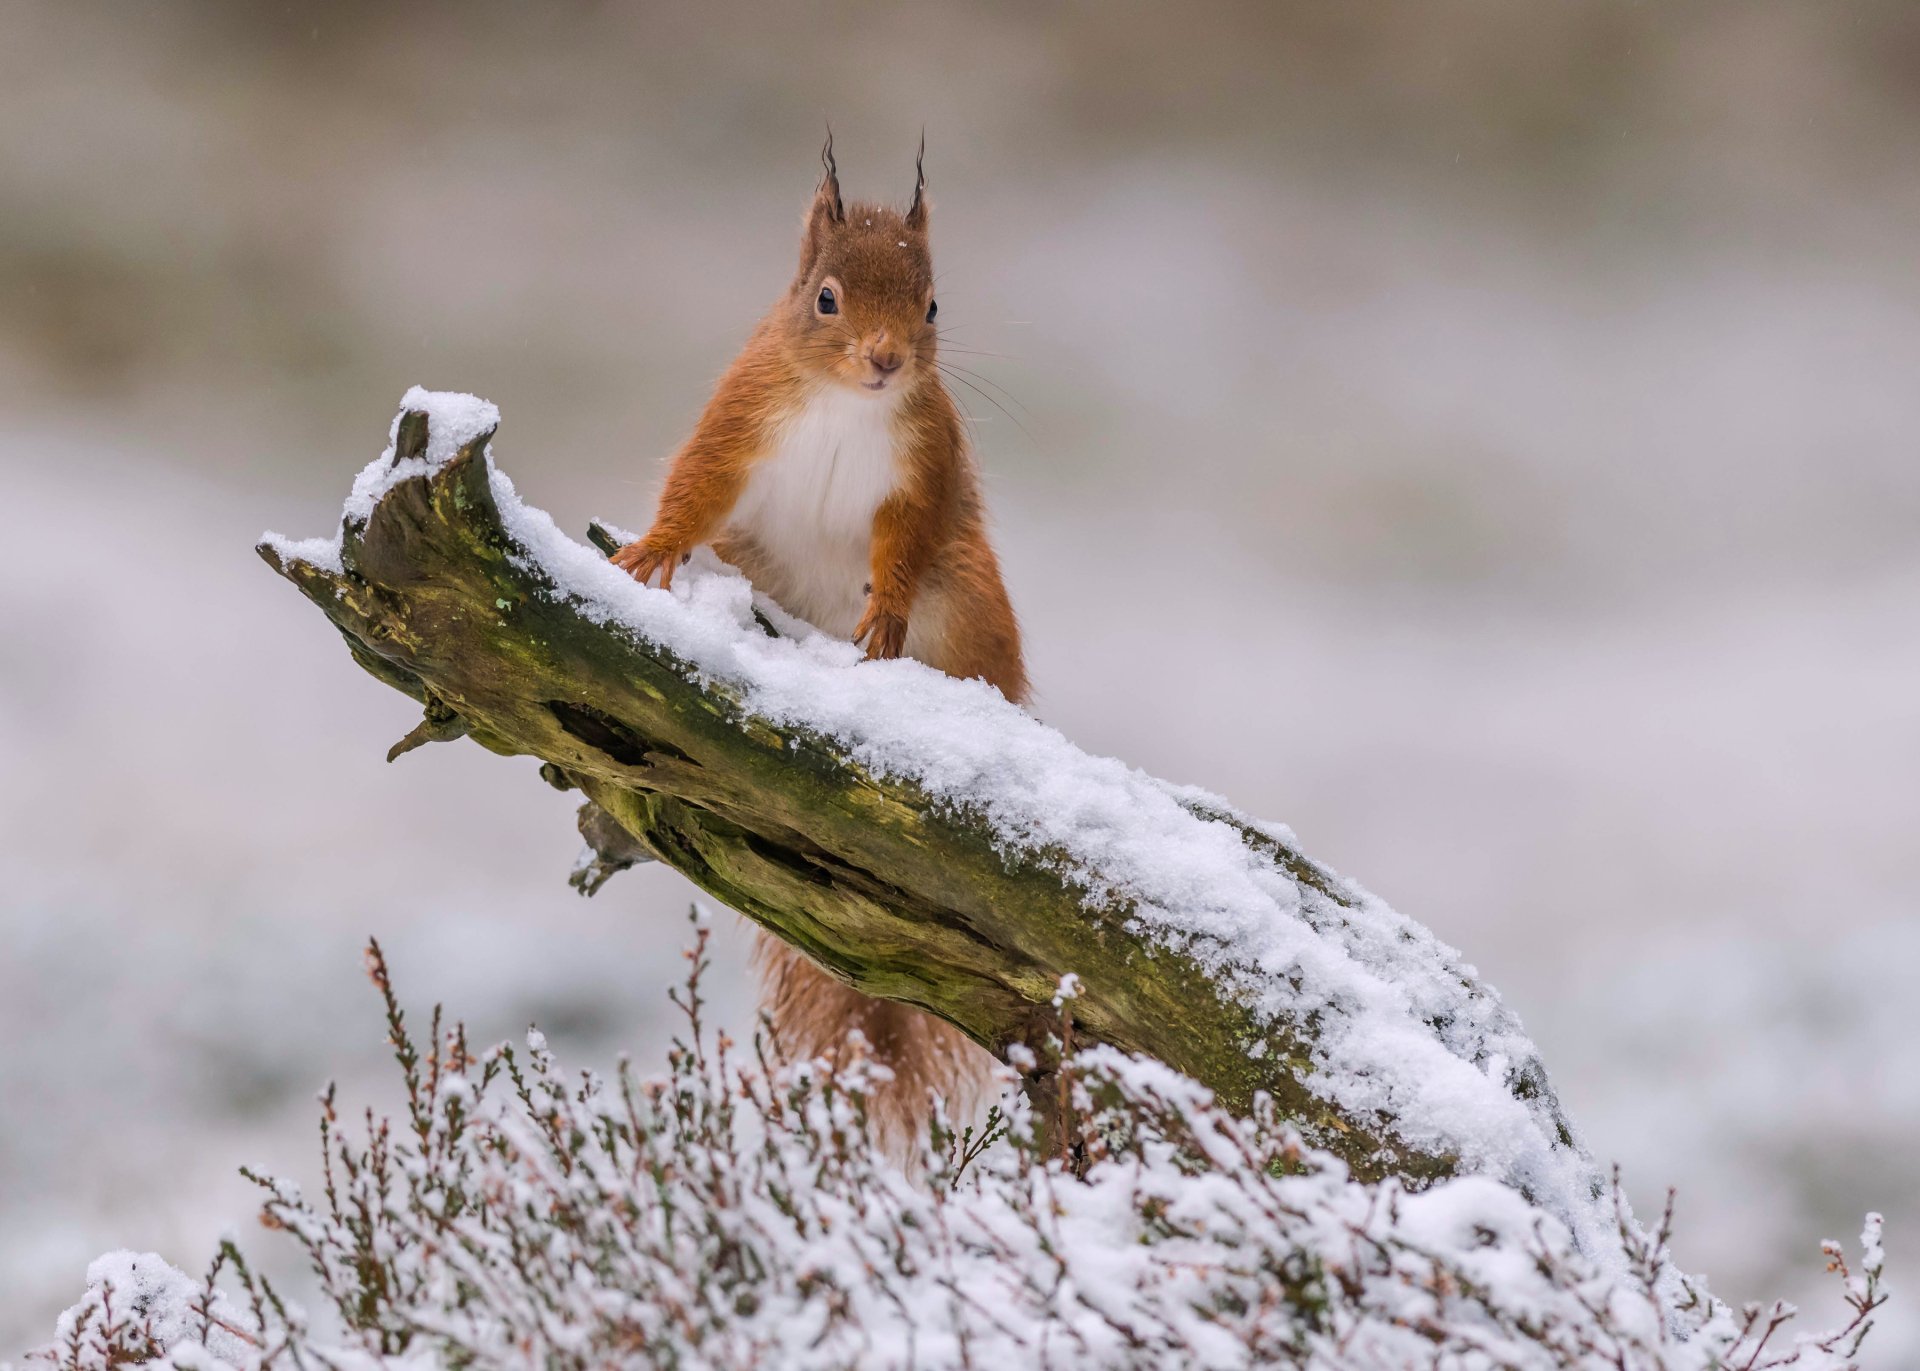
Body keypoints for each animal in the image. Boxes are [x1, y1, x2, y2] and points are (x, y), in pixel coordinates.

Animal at [613, 137, 1025, 1151]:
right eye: (826, 299)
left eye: (931, 305)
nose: (886, 360)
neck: (846, 403)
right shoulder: (740, 418)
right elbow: (696, 486)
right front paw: (650, 551)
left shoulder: (922, 470)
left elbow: (901, 545)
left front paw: (885, 615)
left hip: (971, 599)